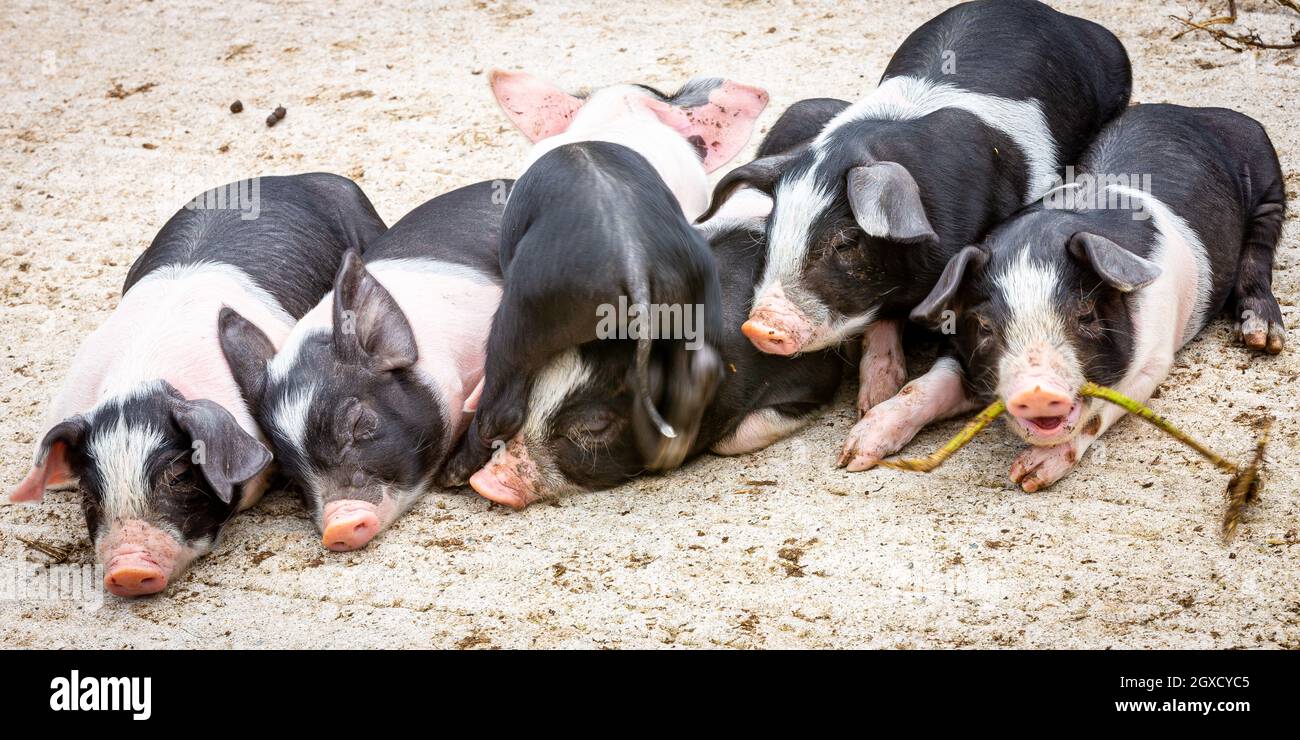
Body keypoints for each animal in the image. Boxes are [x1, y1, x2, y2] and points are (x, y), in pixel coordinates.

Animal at [696, 0, 1132, 457]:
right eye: (771, 229)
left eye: (846, 242)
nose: (759, 326)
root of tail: (1055, 15)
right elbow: (880, 321)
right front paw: (873, 399)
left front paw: (861, 437)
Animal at [857, 103, 1287, 491]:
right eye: (984, 326)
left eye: (1085, 316)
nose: (1037, 390)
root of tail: (1211, 113)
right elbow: (927, 385)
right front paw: (857, 446)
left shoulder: (1153, 359)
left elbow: (1100, 410)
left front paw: (1028, 476)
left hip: (1269, 185)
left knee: (1259, 251)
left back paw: (1263, 338)